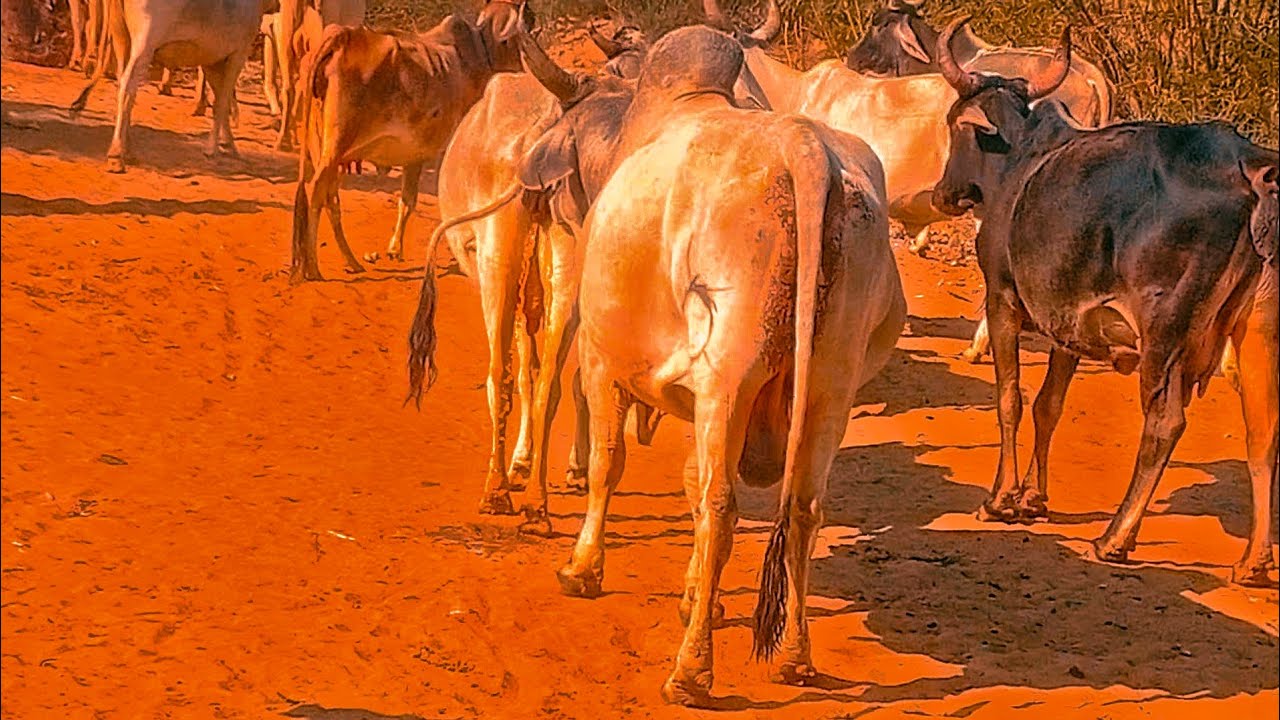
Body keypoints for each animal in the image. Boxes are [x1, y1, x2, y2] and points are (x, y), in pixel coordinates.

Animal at [68, 0, 267, 173]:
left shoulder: (212, 60)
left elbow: (220, 101)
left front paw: (229, 145)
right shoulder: (239, 52)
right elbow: (222, 103)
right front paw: (213, 149)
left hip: (121, 37)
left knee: (123, 85)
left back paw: (128, 151)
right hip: (145, 42)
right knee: (128, 85)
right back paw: (116, 155)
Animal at [288, 1, 531, 283]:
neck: (481, 53)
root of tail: (343, 36)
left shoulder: (413, 156)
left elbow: (407, 202)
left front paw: (395, 249)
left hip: (325, 148)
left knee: (331, 198)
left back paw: (351, 261)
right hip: (336, 144)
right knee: (317, 191)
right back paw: (314, 266)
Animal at [403, 22, 648, 532]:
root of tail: (535, 139)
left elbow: (524, 370)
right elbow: (541, 371)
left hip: (500, 256)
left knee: (502, 372)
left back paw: (500, 490)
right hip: (559, 260)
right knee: (545, 376)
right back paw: (532, 496)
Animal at [931, 19, 1278, 587]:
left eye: (955, 124)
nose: (943, 194)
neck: (1020, 158)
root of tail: (1248, 169)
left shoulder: (1002, 298)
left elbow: (1010, 399)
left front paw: (1000, 498)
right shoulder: (1067, 321)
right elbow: (1048, 405)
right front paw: (1033, 497)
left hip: (1164, 331)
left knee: (1165, 425)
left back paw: (1116, 536)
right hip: (1258, 329)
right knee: (1263, 435)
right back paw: (1252, 561)